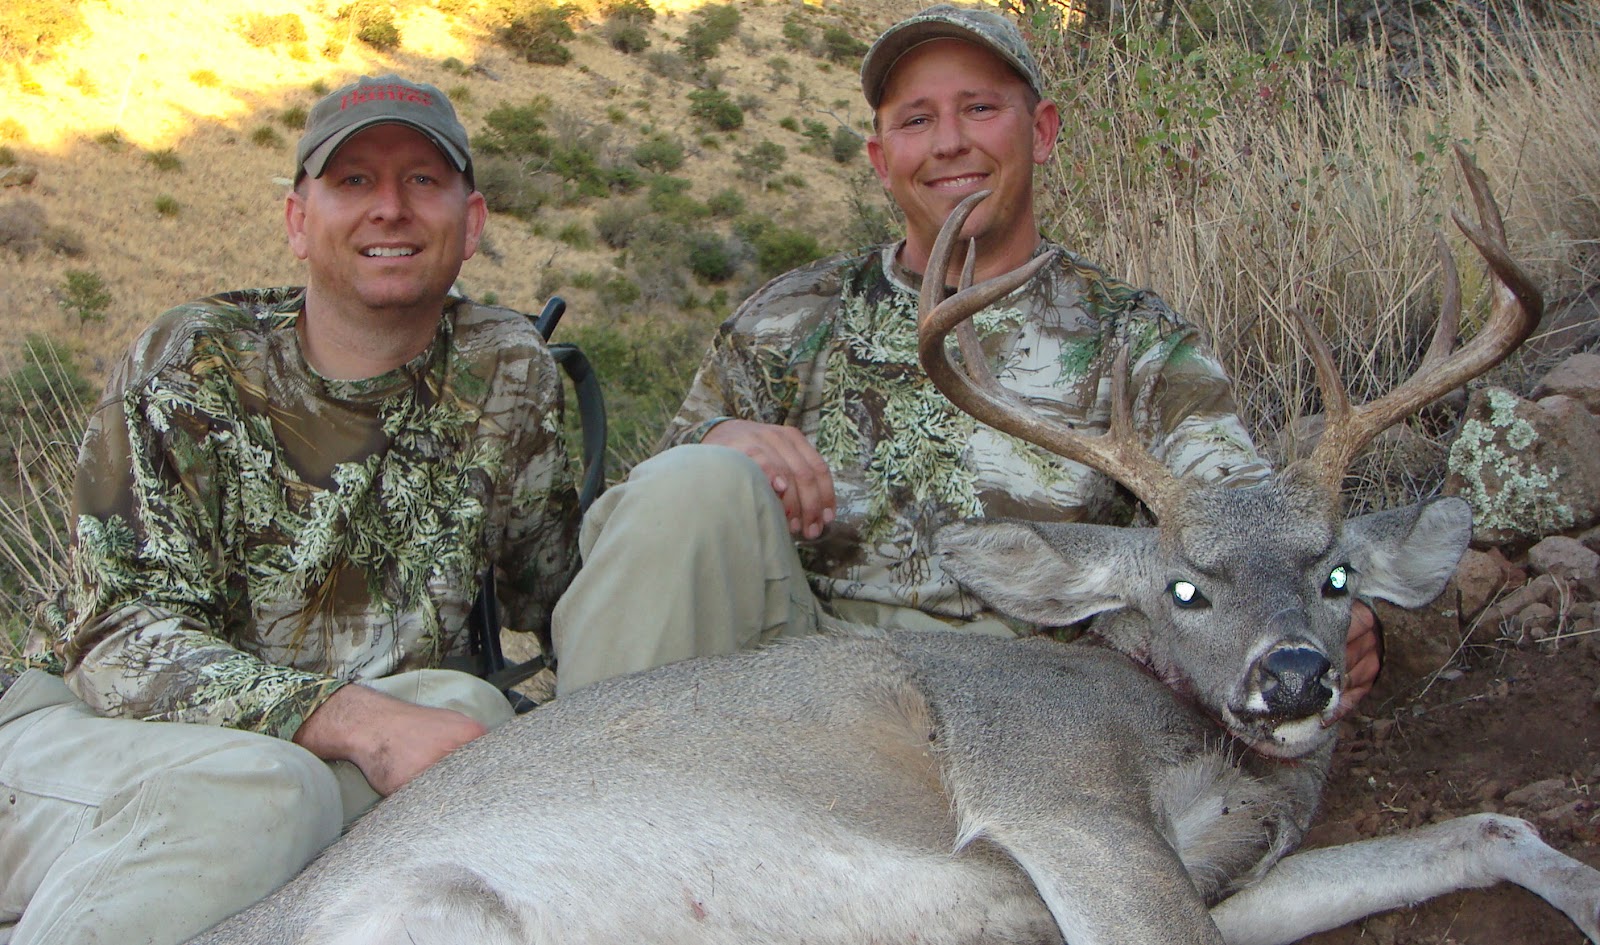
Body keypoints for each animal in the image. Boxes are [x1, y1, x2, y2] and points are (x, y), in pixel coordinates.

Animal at [188, 146, 1600, 945]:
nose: (1297, 676)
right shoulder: (1054, 797)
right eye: (1182, 588)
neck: (1191, 751)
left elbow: (1481, 828)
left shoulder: (1222, 879)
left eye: (1336, 574)